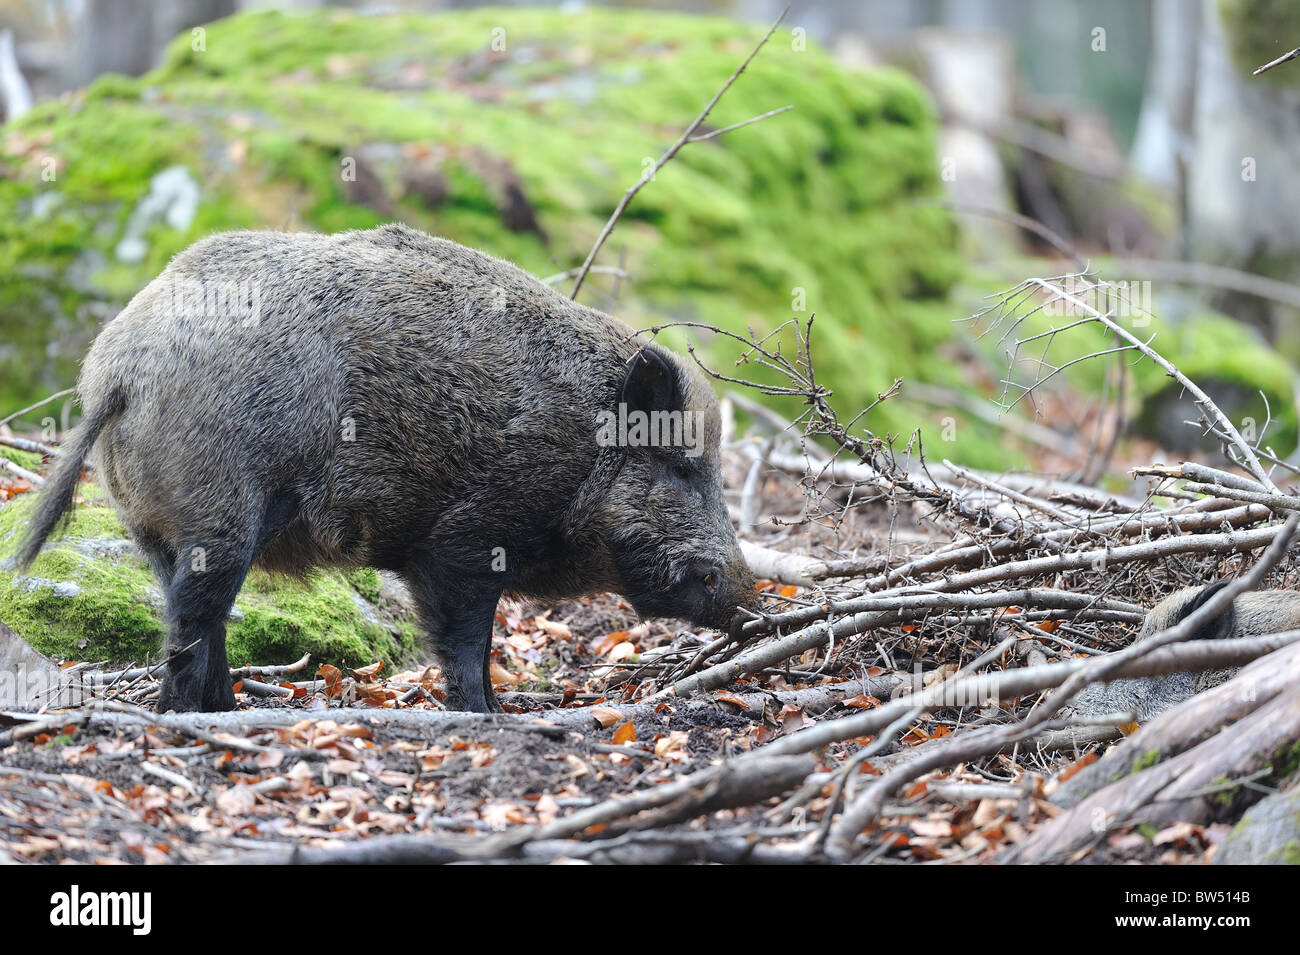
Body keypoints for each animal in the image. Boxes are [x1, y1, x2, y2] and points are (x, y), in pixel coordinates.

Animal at [17, 223, 758, 713]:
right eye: (684, 468)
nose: (749, 598)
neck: (582, 451)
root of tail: (118, 367)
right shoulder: (464, 540)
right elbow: (467, 640)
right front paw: (485, 714)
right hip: (221, 510)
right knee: (195, 618)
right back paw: (190, 715)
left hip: (150, 522)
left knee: (194, 612)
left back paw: (223, 709)